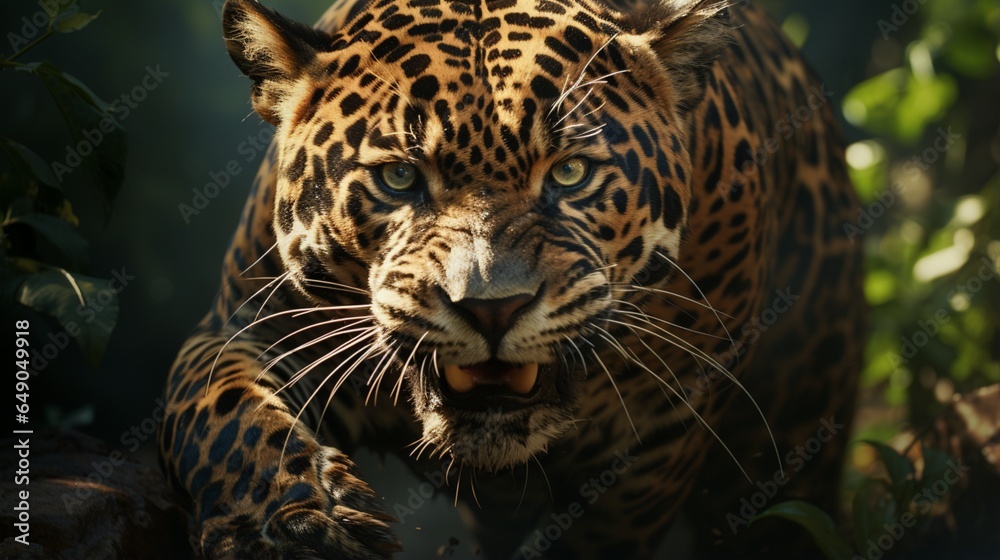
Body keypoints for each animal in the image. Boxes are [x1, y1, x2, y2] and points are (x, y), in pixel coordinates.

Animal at [158, 0, 866, 558]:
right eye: (399, 178)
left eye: (571, 173)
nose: (491, 309)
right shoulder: (243, 324)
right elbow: (219, 411)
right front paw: (293, 522)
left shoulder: (661, 435)